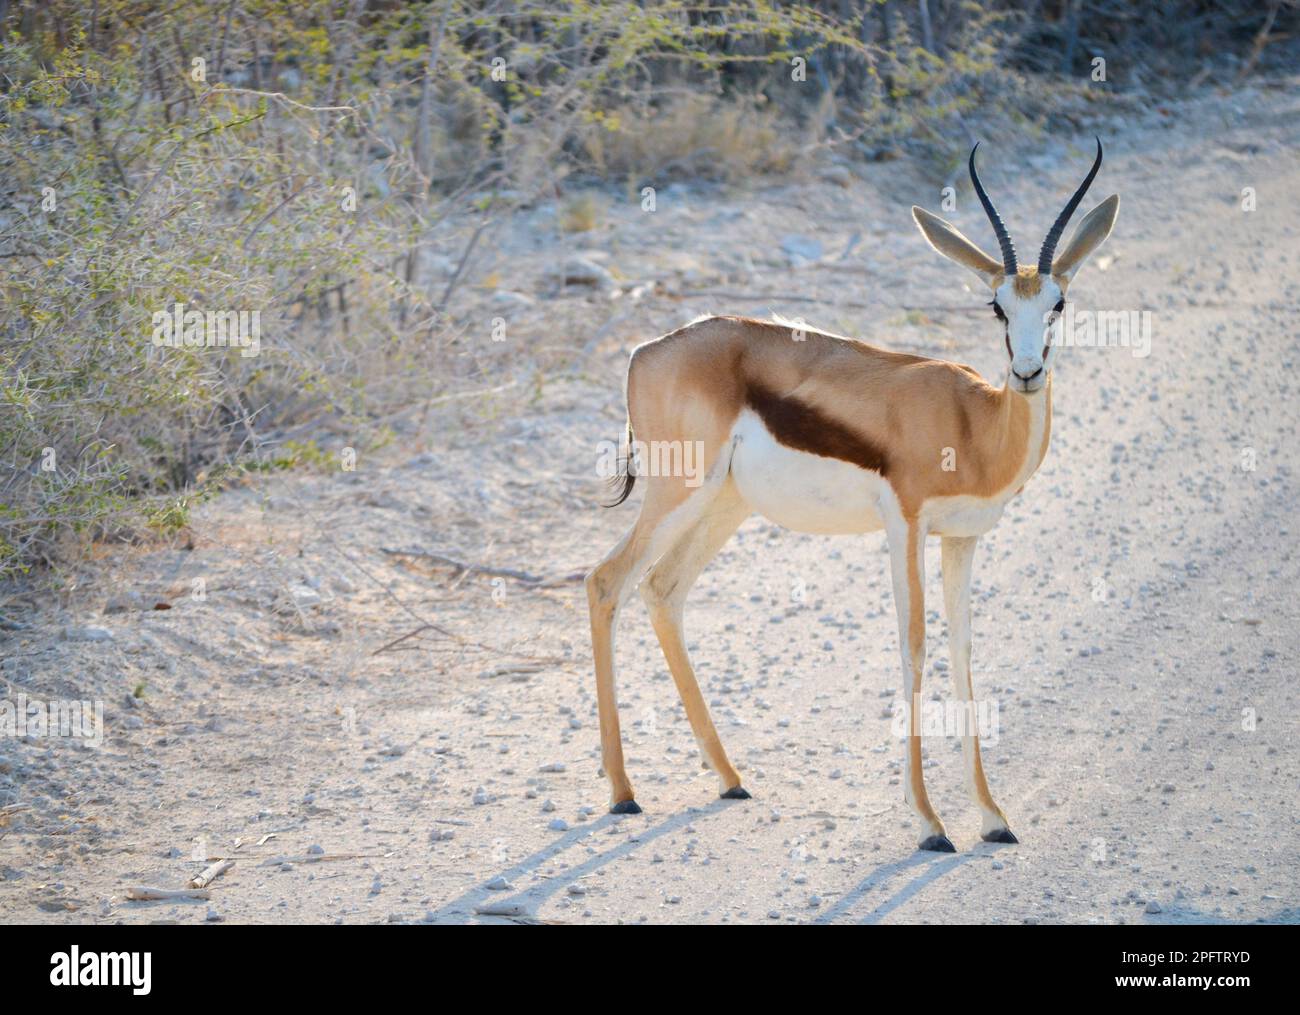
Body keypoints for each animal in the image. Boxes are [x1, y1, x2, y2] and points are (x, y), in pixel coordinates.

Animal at [586, 140, 1118, 851]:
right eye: (998, 307)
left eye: (1058, 301)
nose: (1028, 372)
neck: (973, 423)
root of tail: (644, 352)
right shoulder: (905, 525)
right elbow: (913, 646)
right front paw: (930, 824)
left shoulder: (962, 538)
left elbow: (963, 652)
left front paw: (993, 817)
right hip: (677, 494)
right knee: (606, 581)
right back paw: (623, 792)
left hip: (723, 505)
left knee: (662, 589)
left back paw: (729, 779)